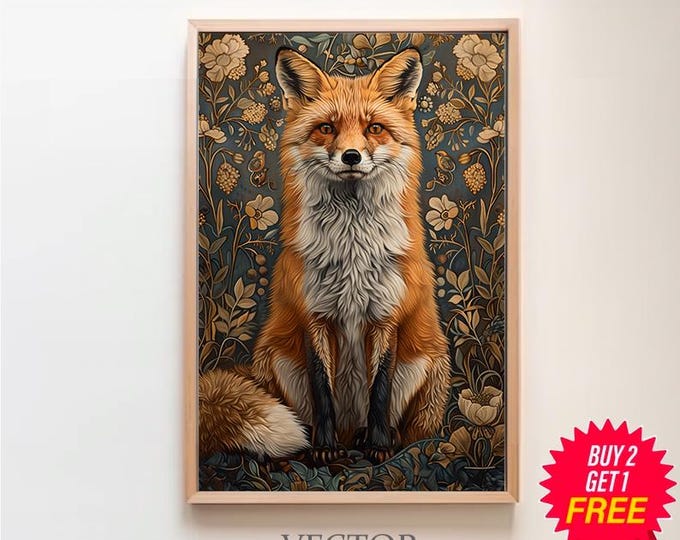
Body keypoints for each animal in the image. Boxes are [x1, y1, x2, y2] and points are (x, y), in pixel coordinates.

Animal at [199, 46, 450, 465]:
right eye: (327, 128)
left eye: (374, 129)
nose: (351, 156)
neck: (351, 247)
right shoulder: (313, 315)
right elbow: (323, 390)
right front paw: (322, 447)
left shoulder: (386, 316)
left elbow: (380, 389)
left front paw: (380, 445)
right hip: (279, 358)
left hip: (423, 361)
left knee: (406, 425)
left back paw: (378, 437)